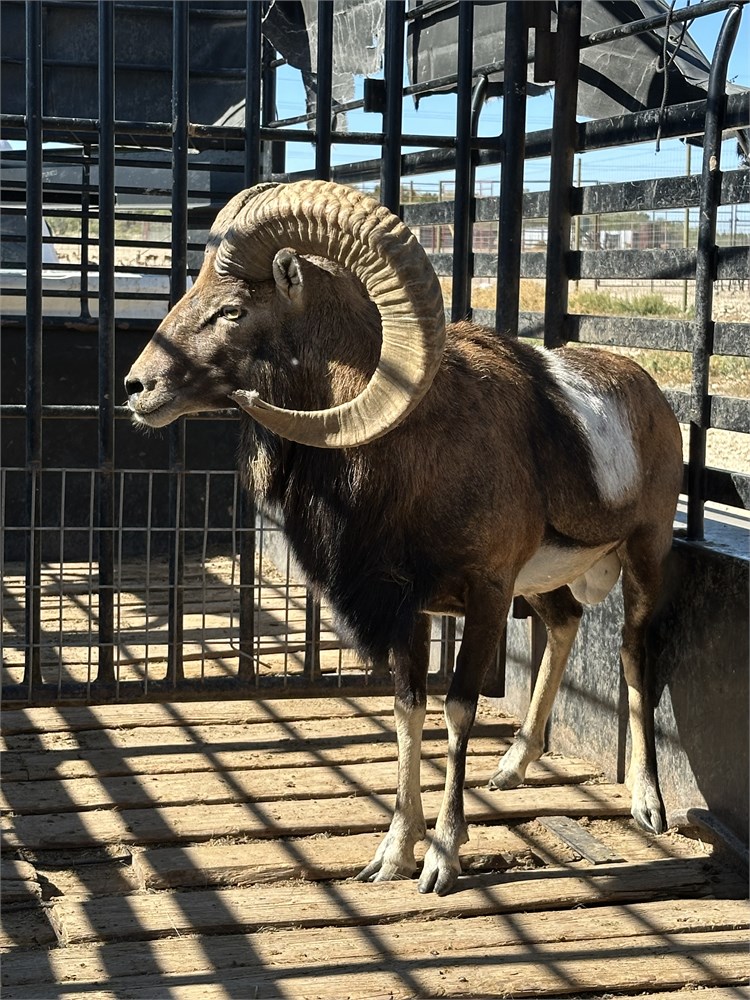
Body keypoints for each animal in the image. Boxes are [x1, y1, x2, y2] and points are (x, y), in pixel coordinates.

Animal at [125, 180, 684, 895]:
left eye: (230, 310)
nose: (137, 389)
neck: (409, 454)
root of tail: (652, 395)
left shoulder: (485, 595)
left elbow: (458, 709)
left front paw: (442, 860)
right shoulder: (408, 608)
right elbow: (407, 710)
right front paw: (392, 856)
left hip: (642, 558)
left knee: (634, 654)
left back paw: (647, 805)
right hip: (540, 586)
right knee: (563, 624)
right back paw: (511, 771)